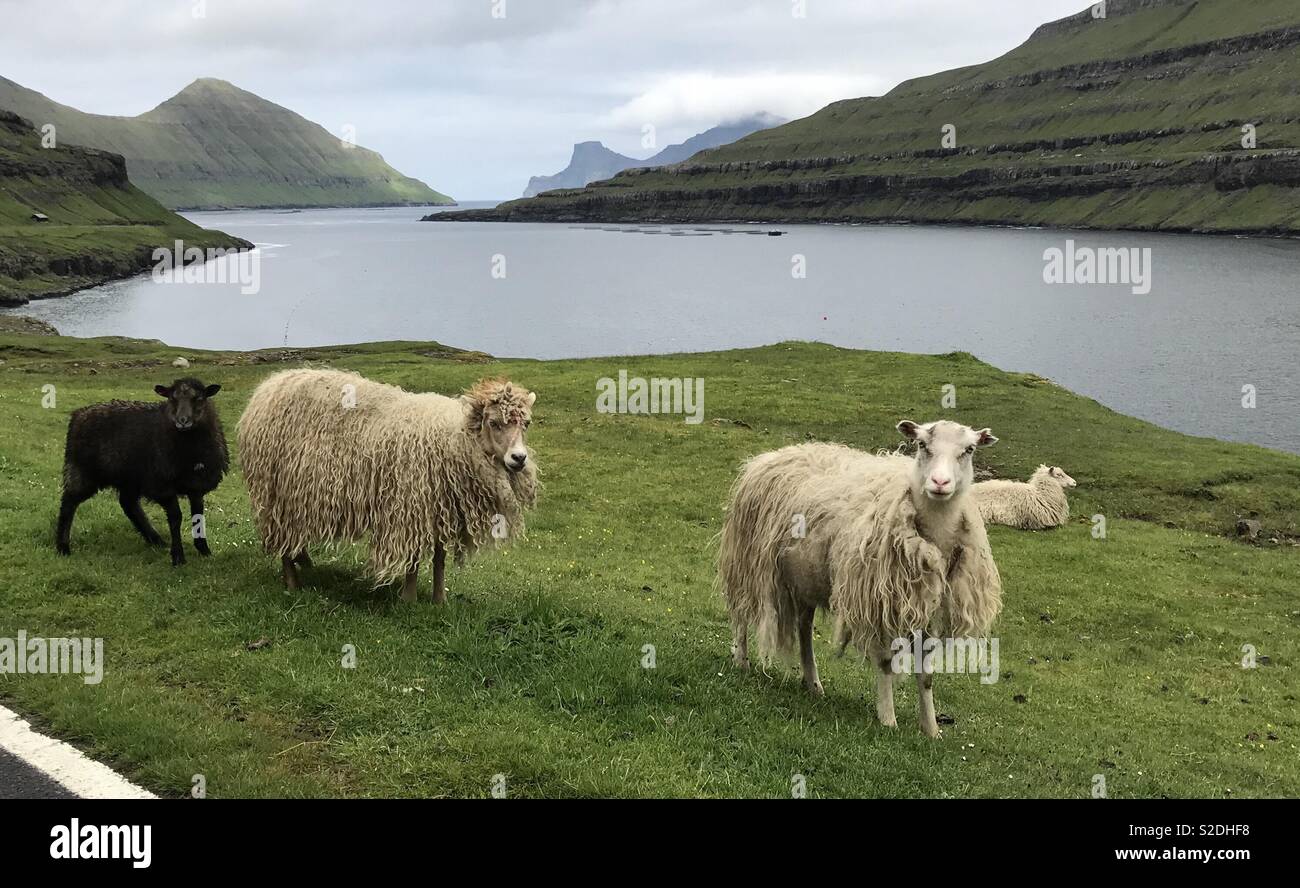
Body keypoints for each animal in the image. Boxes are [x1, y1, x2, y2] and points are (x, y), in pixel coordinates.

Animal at [56, 378, 228, 566]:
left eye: (199, 398)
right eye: (172, 398)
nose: (183, 421)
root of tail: (79, 414)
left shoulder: (196, 486)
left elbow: (198, 516)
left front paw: (204, 550)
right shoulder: (163, 486)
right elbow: (176, 517)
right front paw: (178, 556)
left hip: (129, 477)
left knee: (128, 504)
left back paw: (155, 539)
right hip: (82, 470)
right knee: (69, 503)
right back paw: (62, 547)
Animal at [237, 369, 537, 601]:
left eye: (526, 424)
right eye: (494, 423)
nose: (519, 458)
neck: (453, 438)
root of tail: (268, 386)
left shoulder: (440, 508)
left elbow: (439, 559)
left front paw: (439, 601)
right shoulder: (411, 504)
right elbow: (414, 558)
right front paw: (409, 598)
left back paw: (304, 563)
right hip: (276, 493)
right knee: (282, 539)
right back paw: (292, 583)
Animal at [718, 419, 1002, 737]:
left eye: (969, 449)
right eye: (921, 444)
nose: (940, 483)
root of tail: (766, 457)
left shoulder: (930, 609)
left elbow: (926, 675)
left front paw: (931, 729)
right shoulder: (876, 603)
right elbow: (886, 663)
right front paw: (888, 719)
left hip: (805, 574)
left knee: (804, 628)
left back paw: (813, 682)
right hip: (748, 560)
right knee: (742, 612)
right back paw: (742, 660)